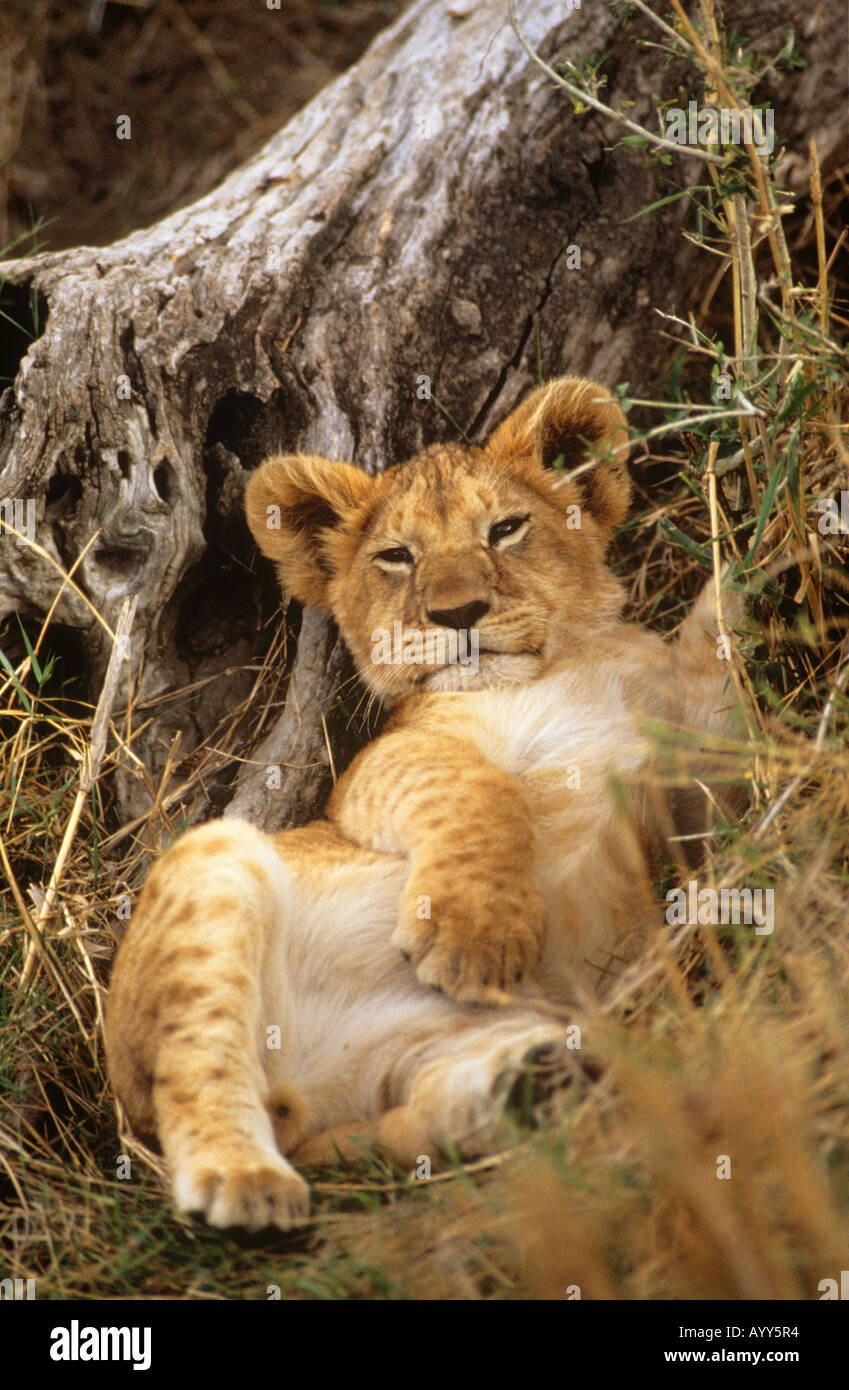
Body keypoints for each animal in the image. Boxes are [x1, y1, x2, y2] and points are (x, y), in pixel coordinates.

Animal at [105, 376, 743, 1231]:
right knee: (195, 1070)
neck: (562, 669)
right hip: (213, 866)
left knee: (424, 1113)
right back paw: (244, 1178)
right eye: (396, 557)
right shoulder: (374, 769)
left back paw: (528, 1083)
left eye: (505, 529)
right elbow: (470, 782)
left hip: (434, 1048)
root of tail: (302, 1093)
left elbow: (718, 685)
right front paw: (476, 932)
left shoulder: (683, 774)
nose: (457, 613)